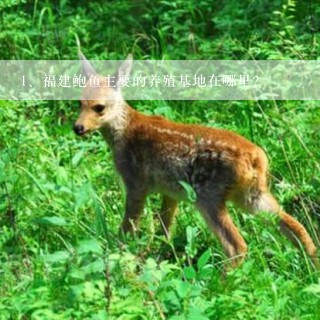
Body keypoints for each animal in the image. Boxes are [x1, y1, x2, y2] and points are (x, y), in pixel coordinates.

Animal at [74, 51, 318, 268]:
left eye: (99, 107)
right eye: (79, 103)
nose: (78, 128)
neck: (123, 132)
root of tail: (257, 158)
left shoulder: (136, 182)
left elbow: (128, 227)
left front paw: (120, 256)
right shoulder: (170, 191)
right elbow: (165, 229)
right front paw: (155, 258)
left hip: (208, 194)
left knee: (236, 246)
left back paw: (220, 284)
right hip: (252, 194)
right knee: (296, 225)